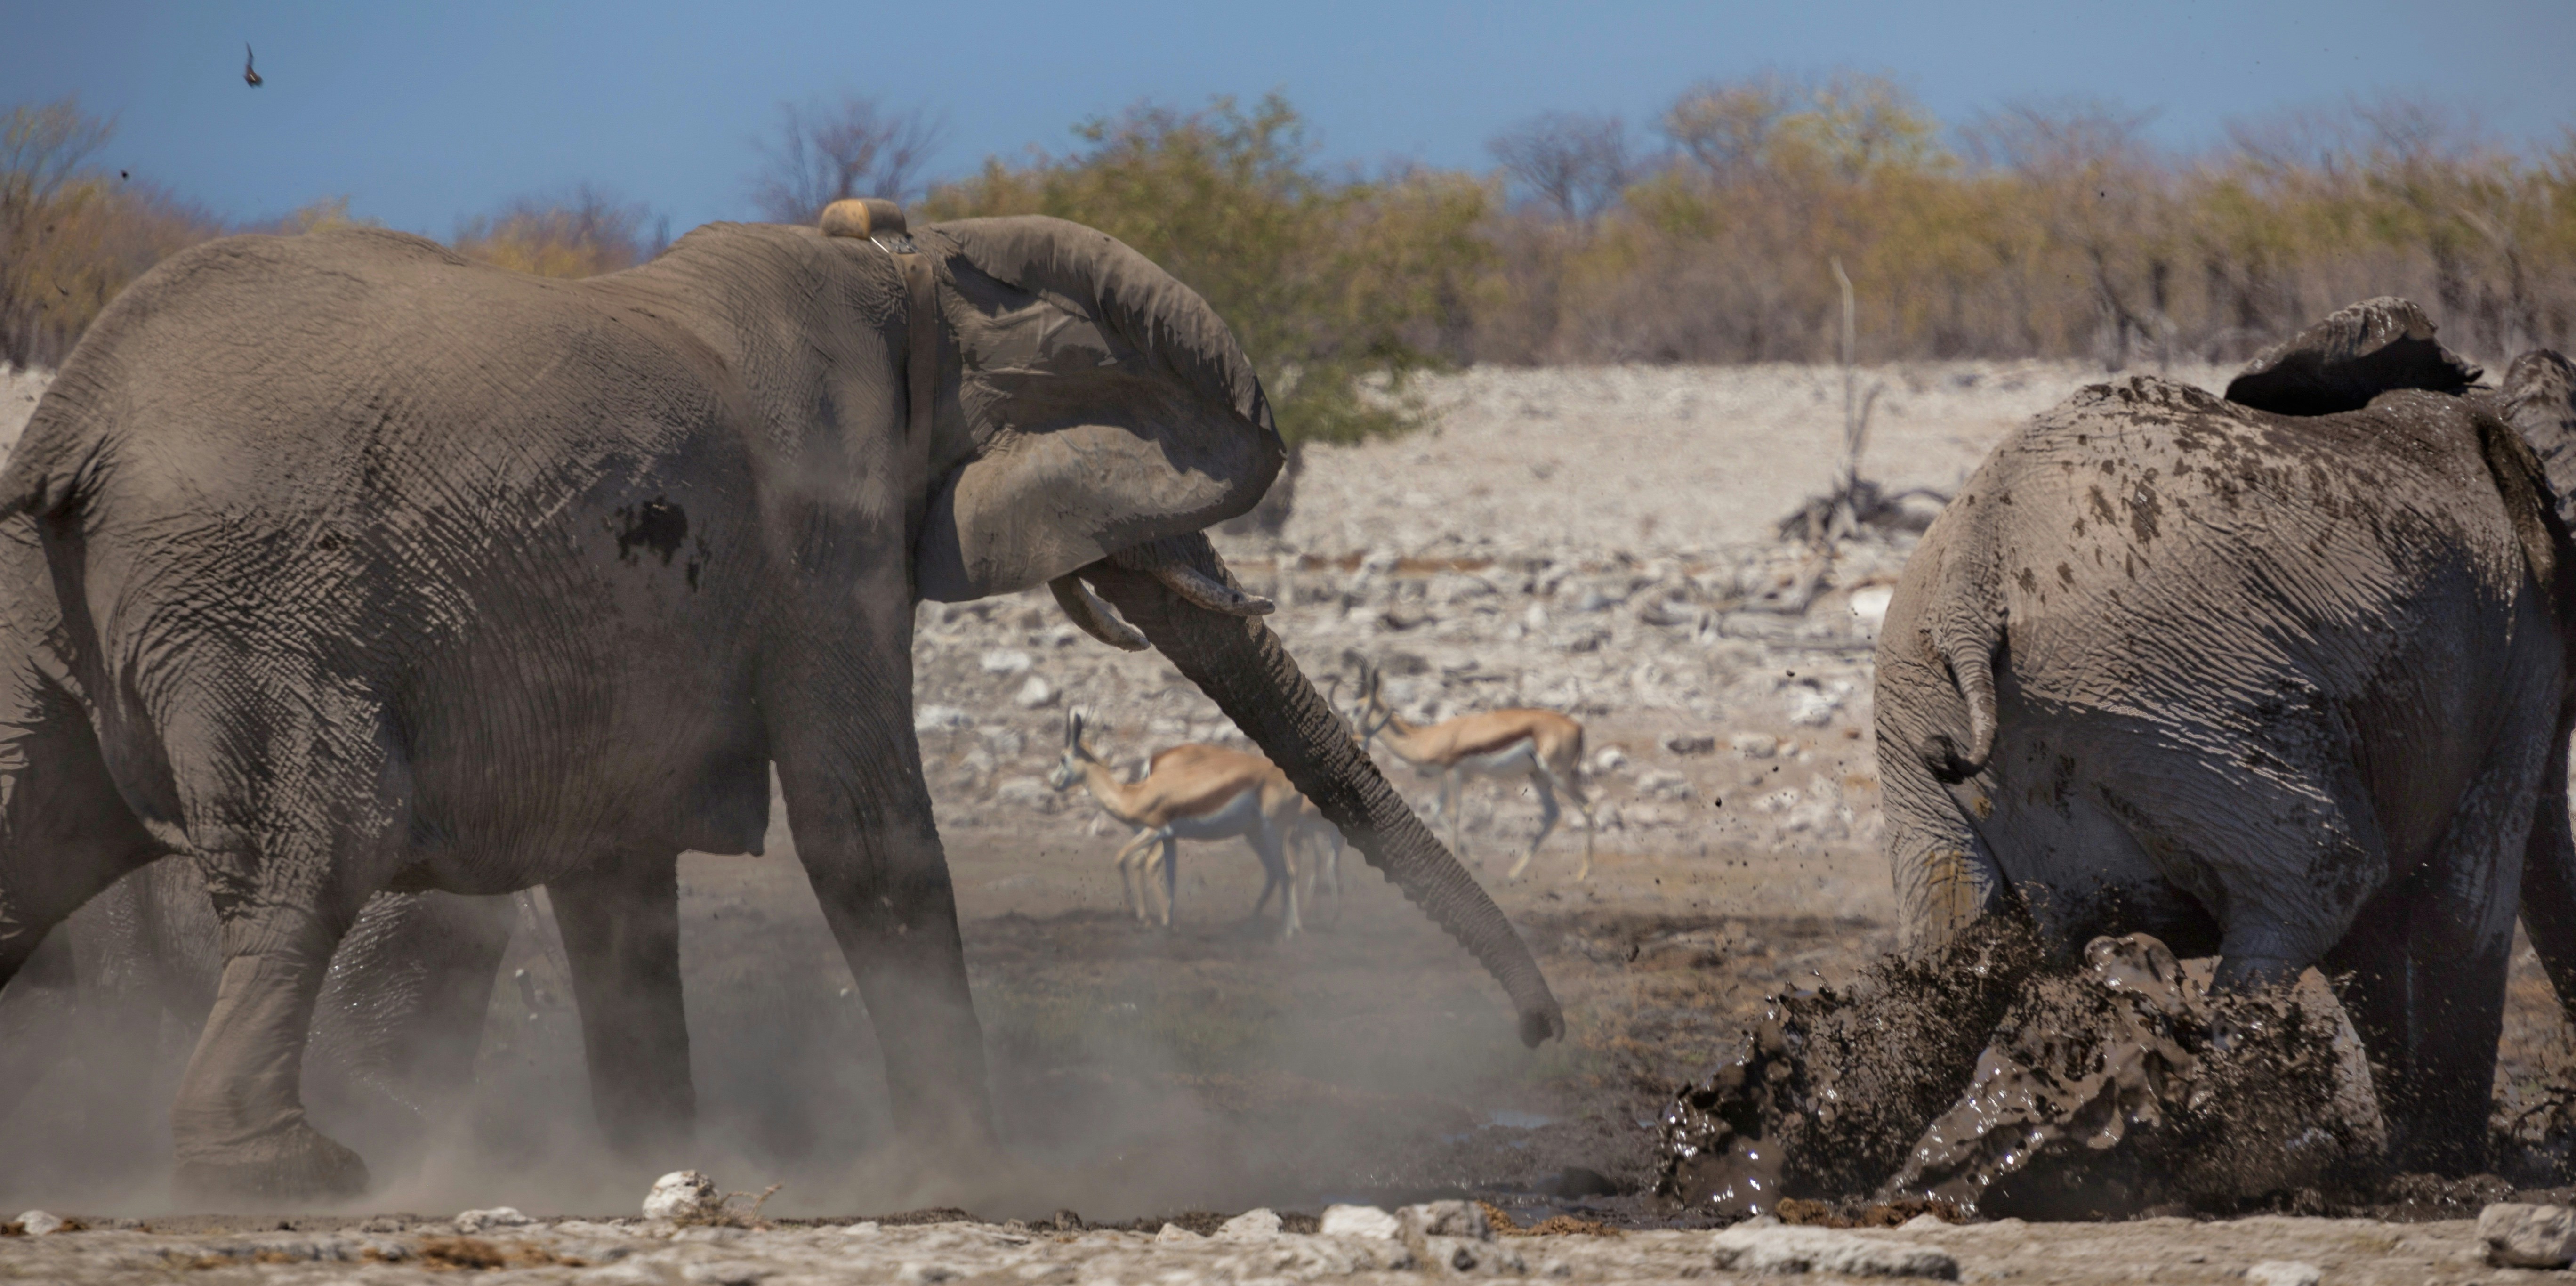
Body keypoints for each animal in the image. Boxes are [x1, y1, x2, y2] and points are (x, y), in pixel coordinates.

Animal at [0, 198, 1563, 1201]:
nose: (1542, 1033)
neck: (907, 267)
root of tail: (78, 419)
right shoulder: (825, 528)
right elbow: (869, 836)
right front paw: (973, 1179)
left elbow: (621, 881)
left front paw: (651, 1167)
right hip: (260, 598)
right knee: (322, 843)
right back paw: (289, 1169)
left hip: (52, 605)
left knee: (36, 833)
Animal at [1874, 297, 2576, 1175]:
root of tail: (1973, 589)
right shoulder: (2520, 651)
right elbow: (2462, 904)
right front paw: (2444, 1166)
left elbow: (2378, 940)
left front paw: (2410, 1158)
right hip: (2180, 695)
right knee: (2320, 881)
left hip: (1922, 715)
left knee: (1948, 942)